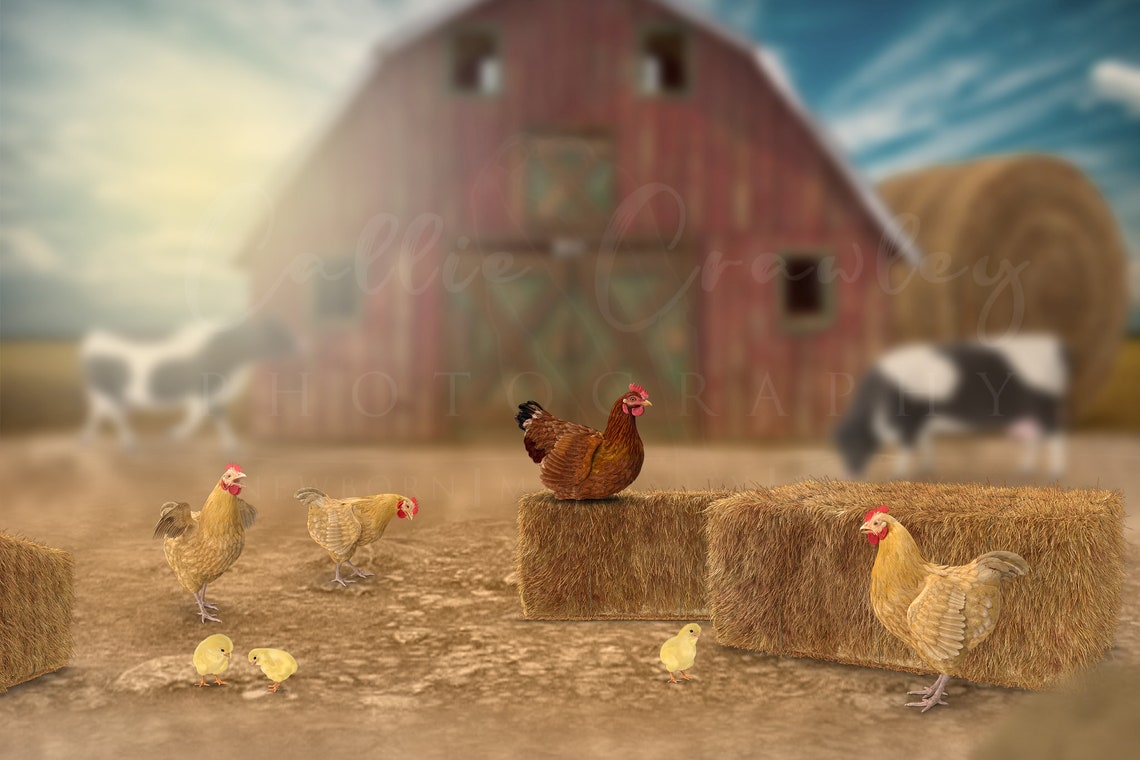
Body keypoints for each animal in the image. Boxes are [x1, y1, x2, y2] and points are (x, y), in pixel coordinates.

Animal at [79, 317, 295, 450]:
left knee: (100, 410)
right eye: (276, 332)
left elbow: (199, 414)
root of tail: (95, 338)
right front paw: (232, 444)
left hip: (104, 390)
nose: (300, 344)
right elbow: (213, 414)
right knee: (112, 411)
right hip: (108, 387)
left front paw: (178, 434)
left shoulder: (207, 392)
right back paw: (128, 441)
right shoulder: (208, 388)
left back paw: (89, 437)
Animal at [833, 334, 1068, 479]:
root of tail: (1054, 346)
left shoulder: (909, 417)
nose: (848, 473)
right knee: (1035, 439)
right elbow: (925, 442)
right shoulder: (921, 421)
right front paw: (927, 468)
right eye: (840, 446)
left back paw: (1056, 472)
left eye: (857, 442)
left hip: (1045, 405)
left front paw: (899, 474)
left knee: (1056, 436)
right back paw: (1024, 470)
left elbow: (907, 446)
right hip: (1029, 414)